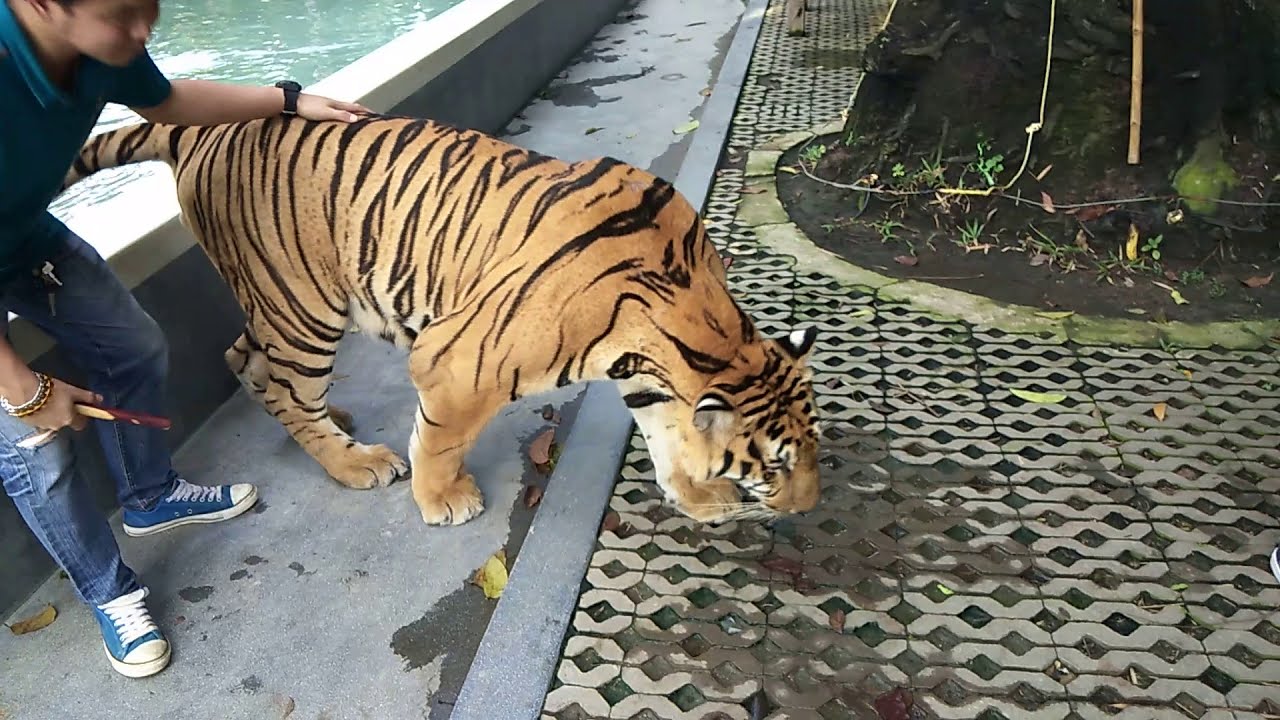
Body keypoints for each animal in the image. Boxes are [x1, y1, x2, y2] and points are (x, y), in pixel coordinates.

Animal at [61, 112, 823, 528]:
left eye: (814, 448)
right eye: (777, 466)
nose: (807, 508)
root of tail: (203, 126)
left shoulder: (651, 377)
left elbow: (666, 435)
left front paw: (697, 495)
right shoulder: (456, 361)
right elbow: (441, 440)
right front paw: (442, 500)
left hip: (278, 303)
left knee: (244, 359)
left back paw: (334, 423)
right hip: (303, 306)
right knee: (285, 383)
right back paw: (353, 461)